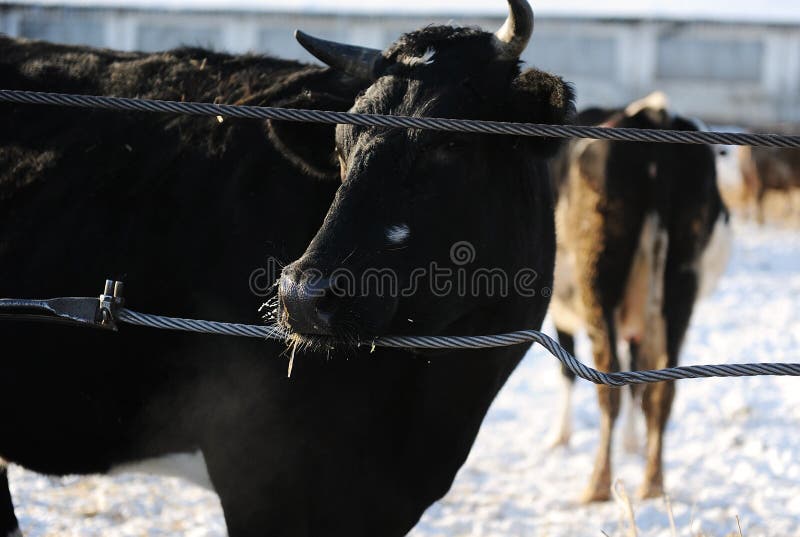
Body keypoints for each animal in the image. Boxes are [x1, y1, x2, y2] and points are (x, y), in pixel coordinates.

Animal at [547, 92, 732, 502]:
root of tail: (652, 114)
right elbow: (637, 377)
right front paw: (632, 443)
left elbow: (569, 370)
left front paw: (560, 437)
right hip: (679, 283)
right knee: (662, 386)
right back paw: (653, 481)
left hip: (597, 278)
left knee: (608, 384)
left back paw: (599, 484)